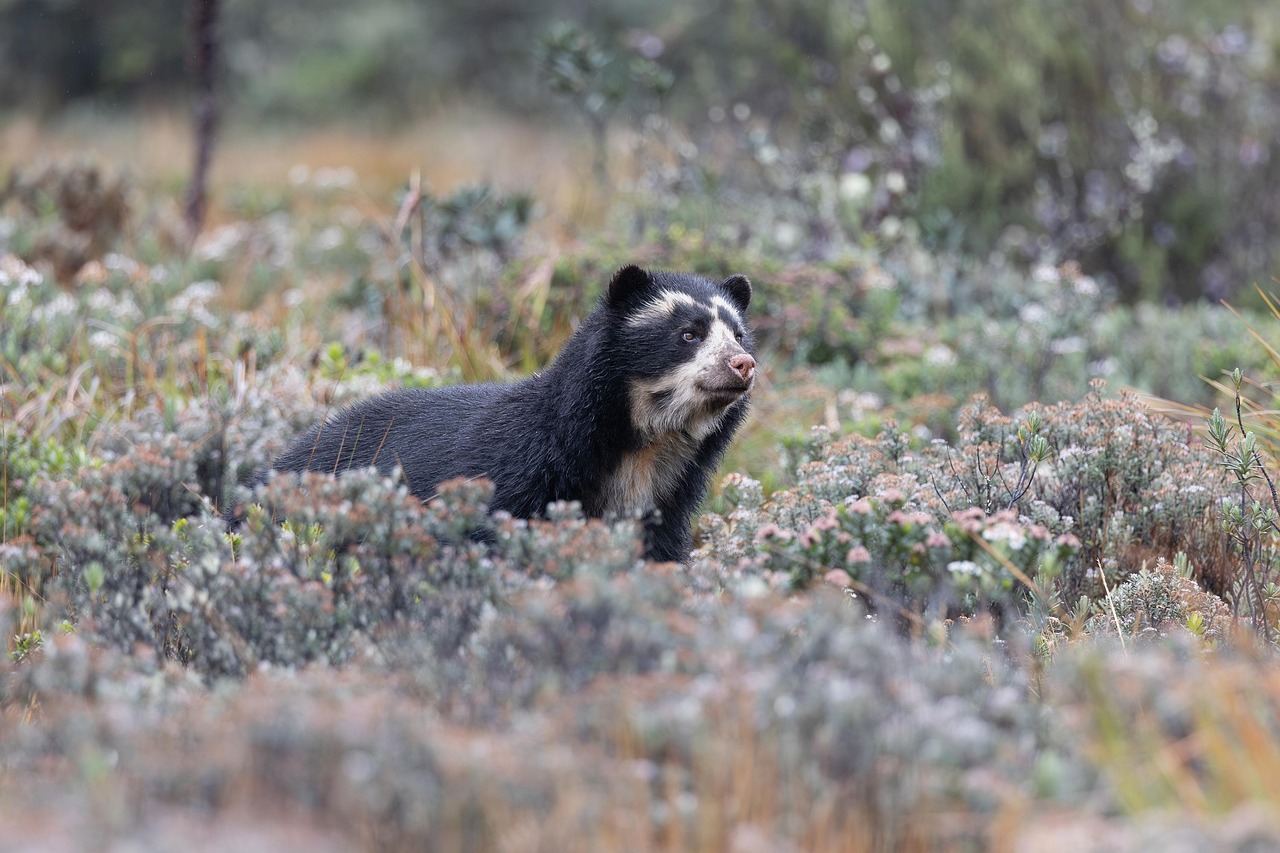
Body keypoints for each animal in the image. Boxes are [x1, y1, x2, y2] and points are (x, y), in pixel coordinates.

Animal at [230, 264, 757, 562]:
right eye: (688, 333)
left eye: (738, 334)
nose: (743, 364)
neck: (640, 450)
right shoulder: (515, 480)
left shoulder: (665, 504)